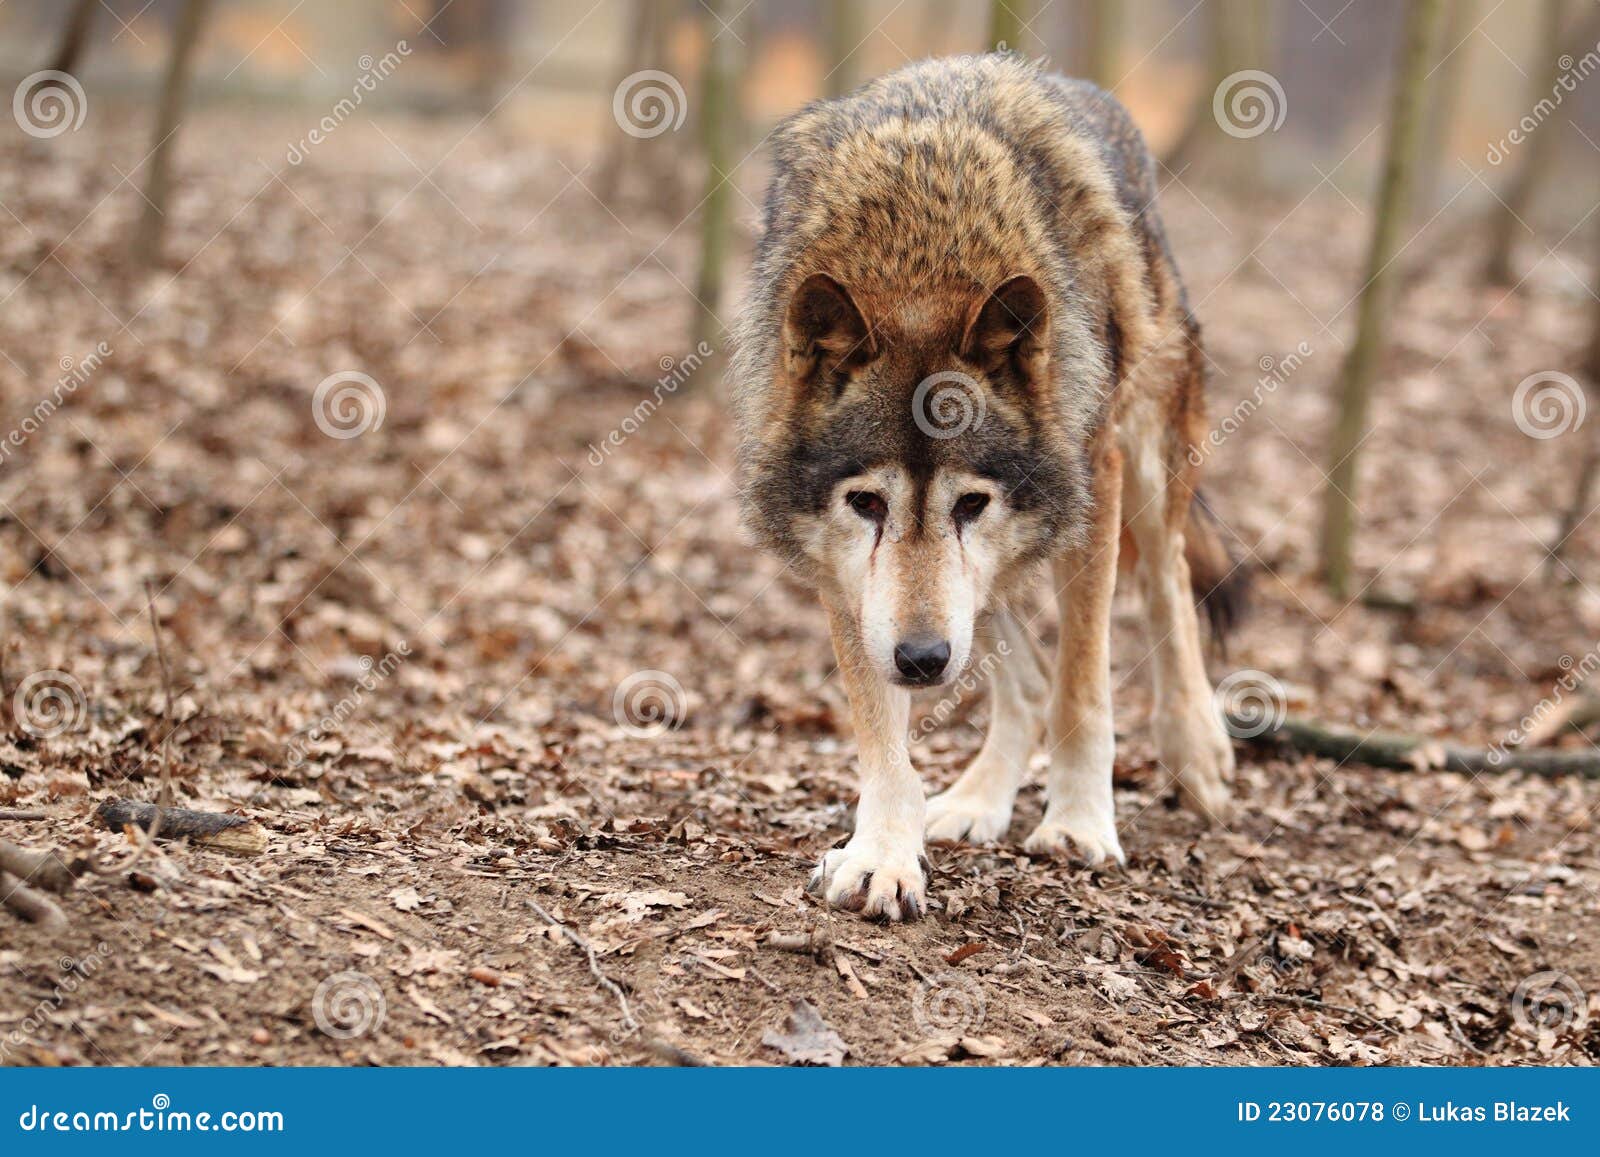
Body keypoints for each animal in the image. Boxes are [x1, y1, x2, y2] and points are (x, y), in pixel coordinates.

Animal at [731, 54, 1245, 921]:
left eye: (970, 502)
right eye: (867, 504)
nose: (922, 660)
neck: (918, 264)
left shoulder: (1092, 485)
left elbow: (1083, 688)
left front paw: (1078, 824)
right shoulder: (845, 571)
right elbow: (882, 733)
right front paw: (883, 853)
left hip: (1137, 456)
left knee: (1168, 580)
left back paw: (1196, 749)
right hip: (987, 581)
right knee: (1027, 679)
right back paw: (975, 803)